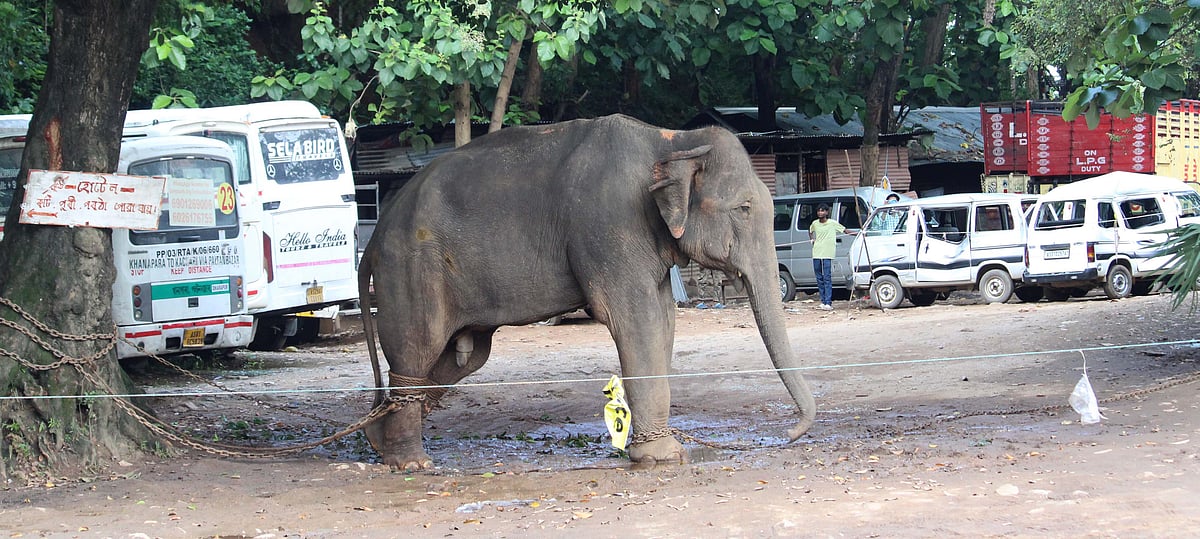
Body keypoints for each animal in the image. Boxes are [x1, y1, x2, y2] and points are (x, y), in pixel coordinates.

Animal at [358, 114, 816, 471]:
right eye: (744, 208)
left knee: (458, 359)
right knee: (416, 350)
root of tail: (376, 236)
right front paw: (664, 457)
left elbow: (664, 321)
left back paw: (378, 438)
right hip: (413, 270)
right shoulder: (611, 227)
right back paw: (411, 463)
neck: (672, 140)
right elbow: (635, 320)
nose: (790, 432)